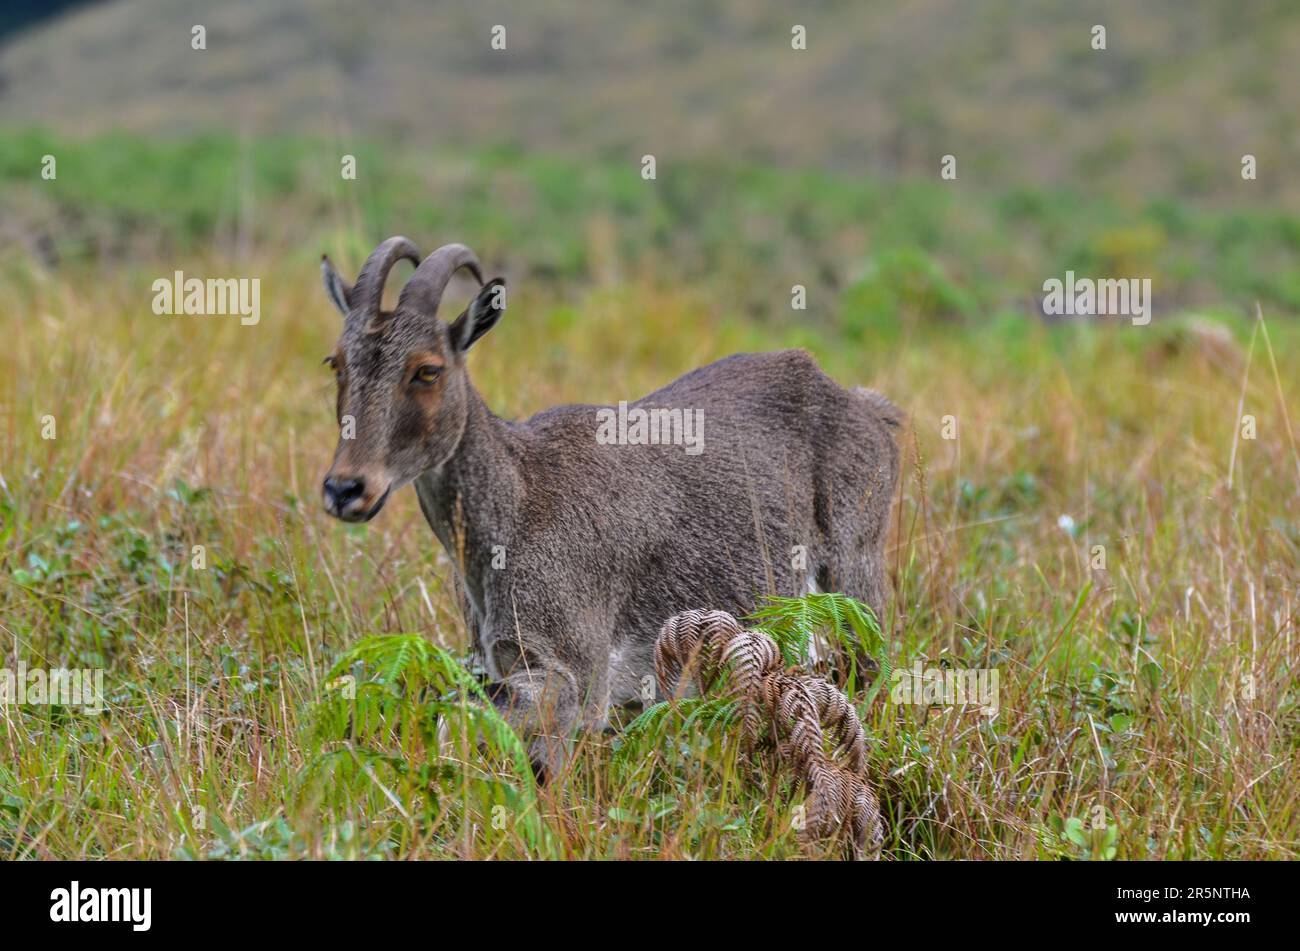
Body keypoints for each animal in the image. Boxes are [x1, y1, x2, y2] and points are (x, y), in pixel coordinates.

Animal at [319, 237, 902, 773]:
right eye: (336, 362)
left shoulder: (576, 679)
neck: (513, 505)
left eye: (427, 369)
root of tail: (870, 407)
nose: (346, 489)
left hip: (856, 575)